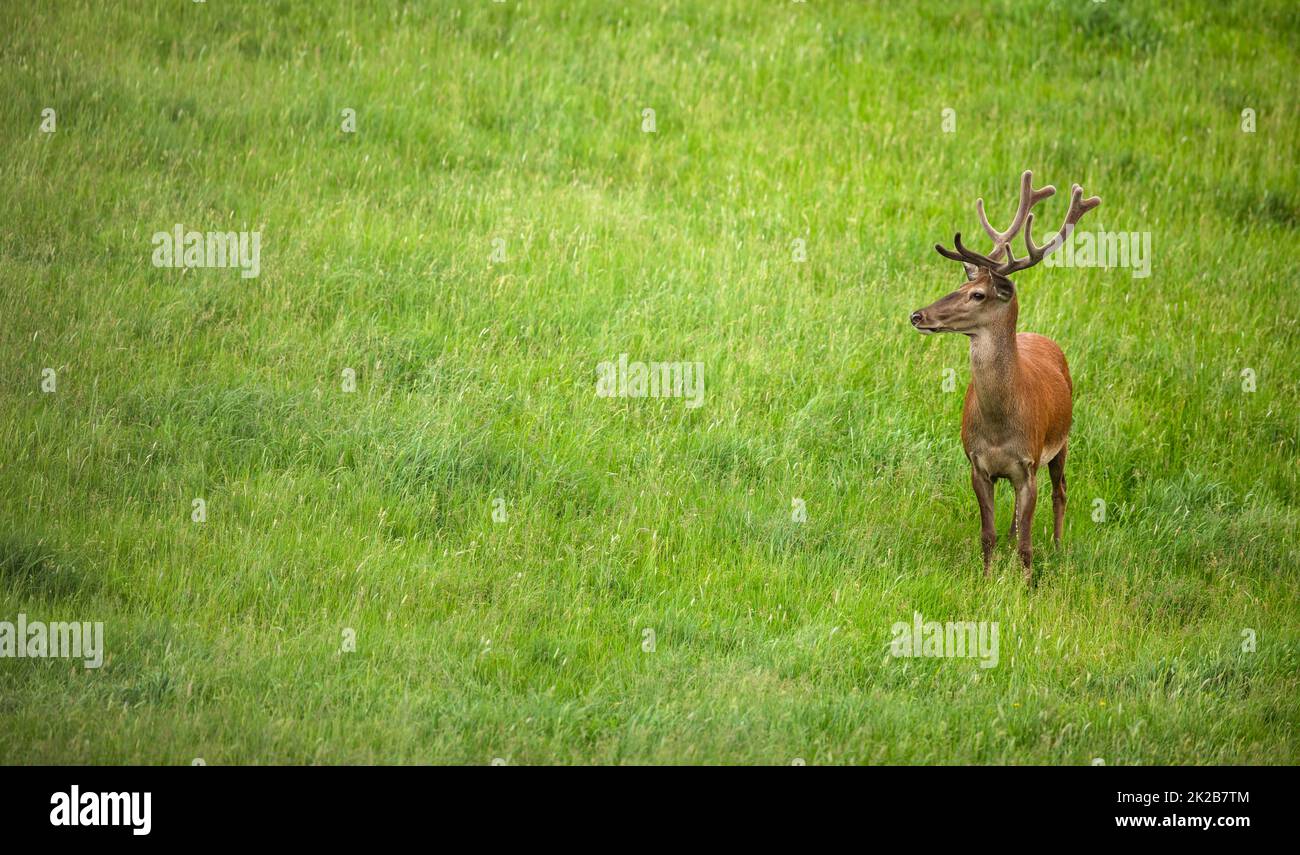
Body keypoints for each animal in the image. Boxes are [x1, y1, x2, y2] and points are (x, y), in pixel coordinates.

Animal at [910, 171, 1100, 584]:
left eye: (978, 295)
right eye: (960, 286)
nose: (918, 315)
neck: (1000, 425)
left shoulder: (1028, 464)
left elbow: (1028, 543)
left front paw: (1026, 585)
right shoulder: (977, 464)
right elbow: (989, 533)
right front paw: (985, 579)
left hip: (1062, 441)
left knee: (1061, 490)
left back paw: (1058, 546)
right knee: (1015, 516)